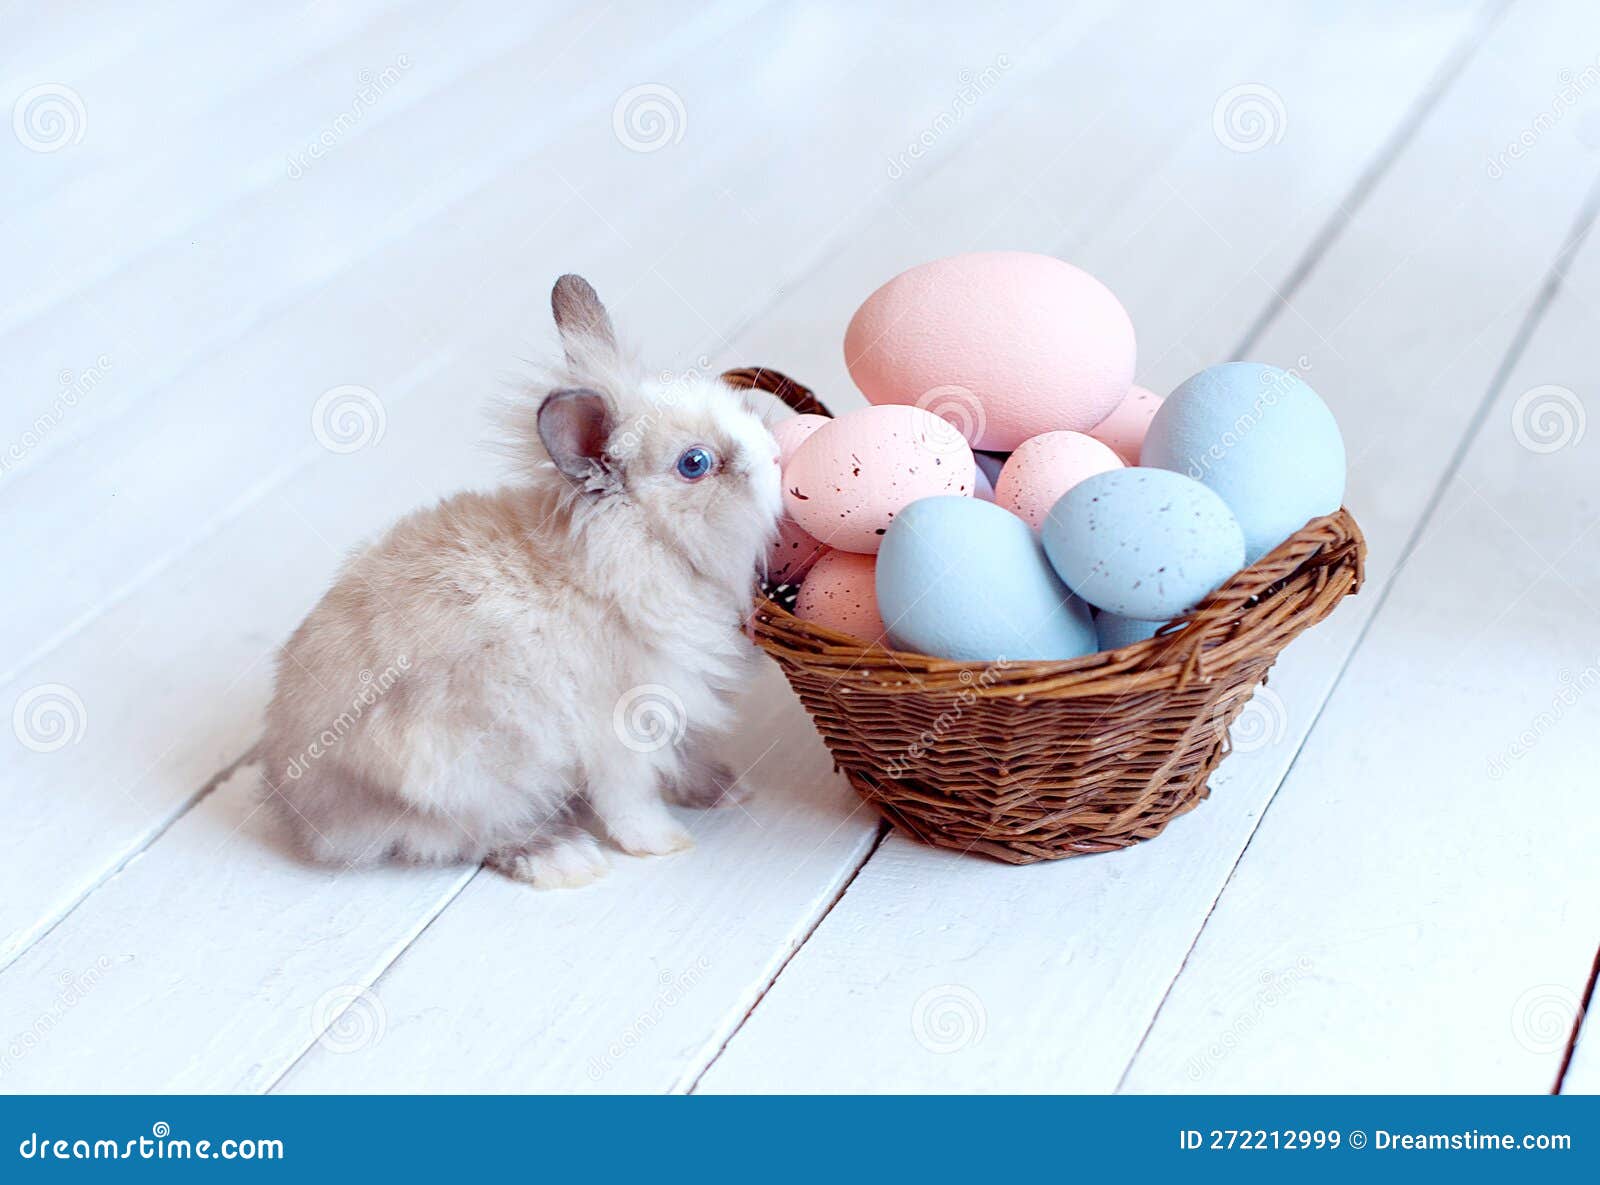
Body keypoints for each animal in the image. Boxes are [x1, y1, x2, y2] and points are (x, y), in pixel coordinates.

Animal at [257, 274, 783, 888]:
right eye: (695, 464)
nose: (777, 456)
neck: (631, 551)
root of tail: (291, 798)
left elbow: (687, 758)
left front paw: (724, 789)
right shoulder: (619, 729)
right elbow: (630, 799)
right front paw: (664, 844)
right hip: (460, 771)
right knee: (470, 836)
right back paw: (562, 857)